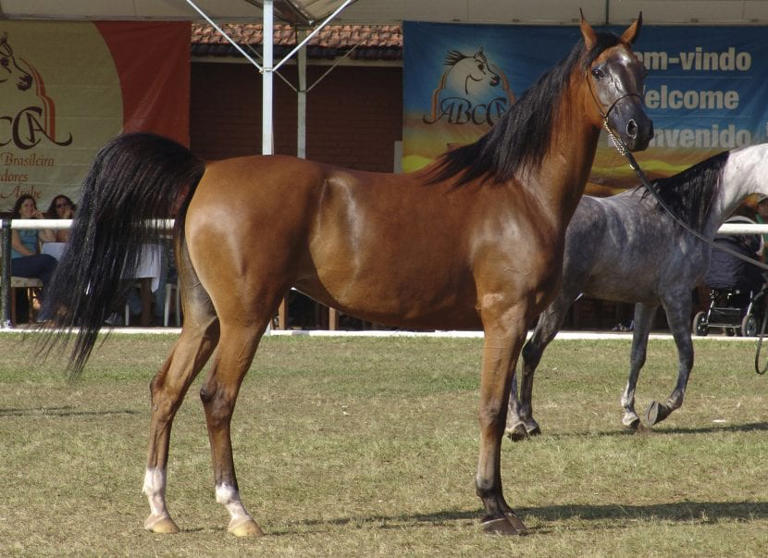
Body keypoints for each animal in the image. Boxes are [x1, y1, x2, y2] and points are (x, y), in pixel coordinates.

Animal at [43, 15, 651, 537]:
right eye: (600, 71)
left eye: (640, 68)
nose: (638, 129)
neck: (516, 191)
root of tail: (205, 171)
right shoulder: (507, 316)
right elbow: (492, 408)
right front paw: (494, 507)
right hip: (245, 319)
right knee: (216, 397)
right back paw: (238, 512)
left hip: (203, 317)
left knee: (166, 389)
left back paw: (160, 511)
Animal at [506, 142, 768, 440]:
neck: (680, 217)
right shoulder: (675, 298)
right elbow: (687, 355)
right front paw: (662, 408)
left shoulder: (647, 302)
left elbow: (637, 356)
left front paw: (630, 414)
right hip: (557, 302)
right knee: (530, 352)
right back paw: (527, 421)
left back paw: (515, 421)